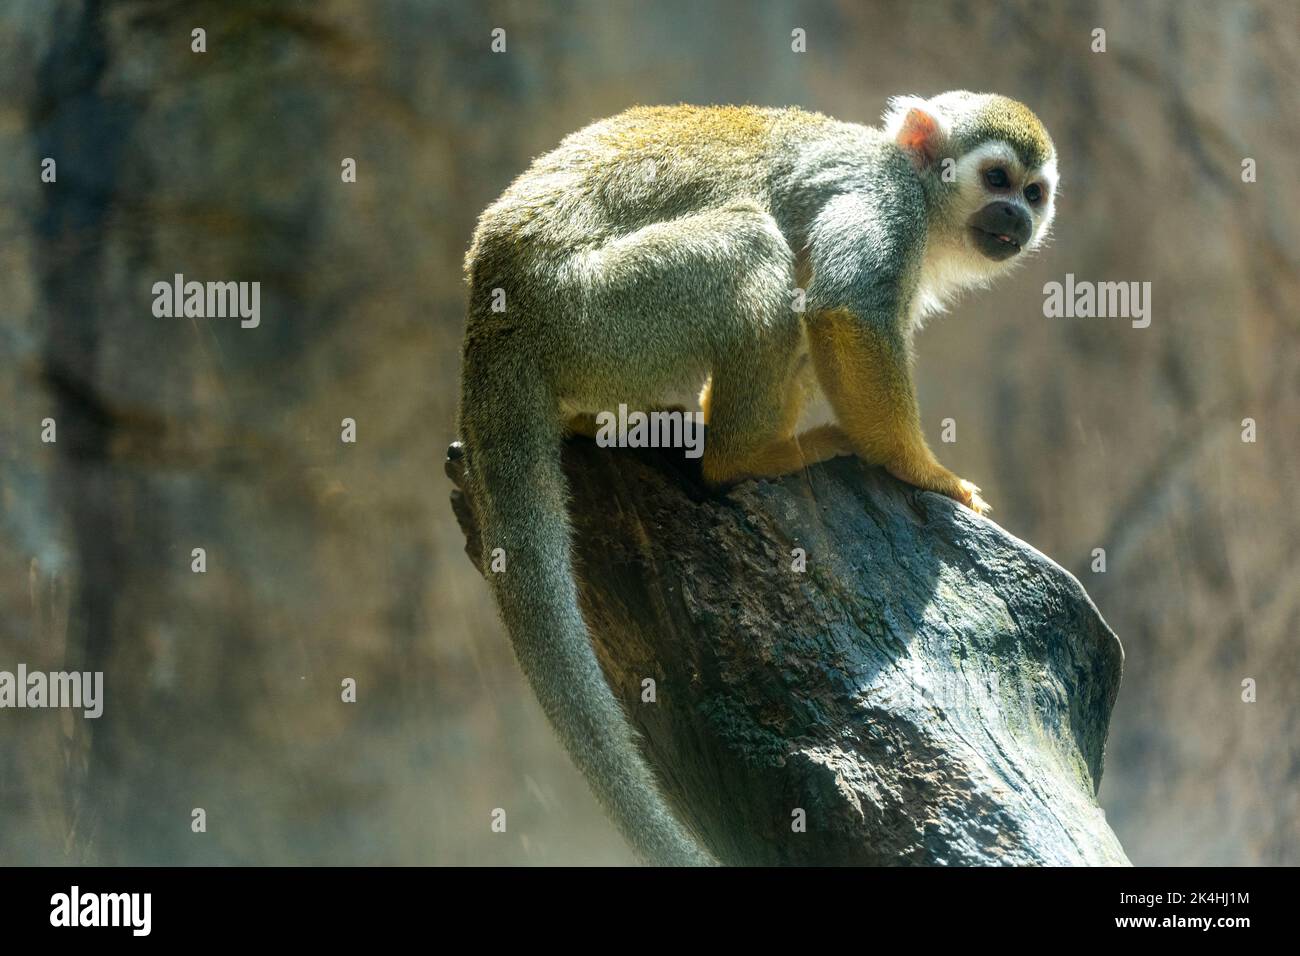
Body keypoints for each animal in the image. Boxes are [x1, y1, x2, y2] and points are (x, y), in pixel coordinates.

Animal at [457, 91, 1058, 865]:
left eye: (1035, 193)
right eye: (997, 179)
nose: (1017, 216)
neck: (922, 197)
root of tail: (494, 309)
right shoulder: (883, 199)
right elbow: (844, 312)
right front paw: (922, 469)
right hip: (595, 313)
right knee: (754, 244)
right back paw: (743, 459)